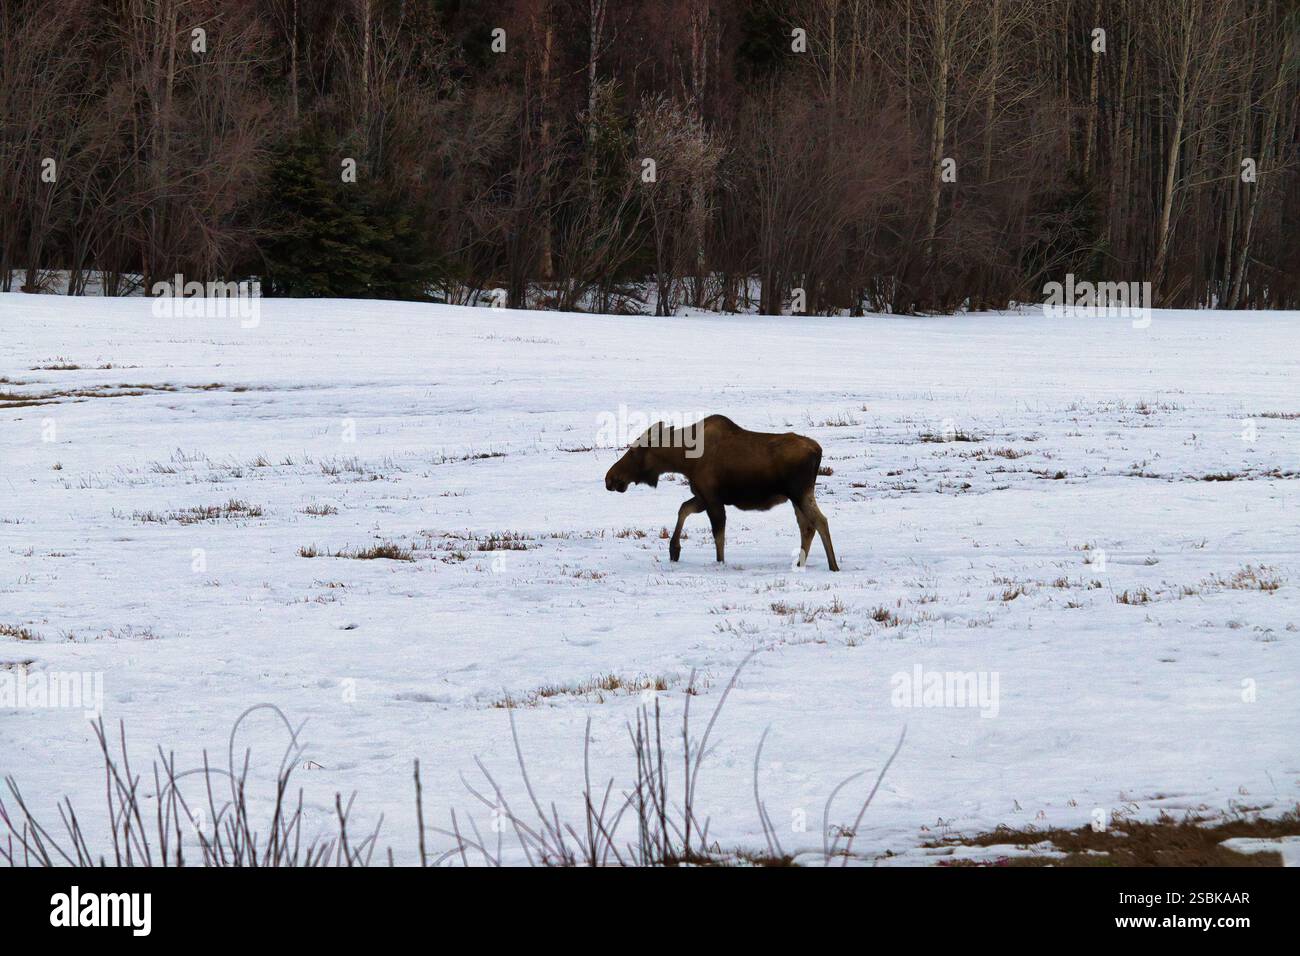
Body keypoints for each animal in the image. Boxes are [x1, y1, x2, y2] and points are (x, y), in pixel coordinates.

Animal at [604, 415, 839, 570]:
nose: (610, 478)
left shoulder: (712, 498)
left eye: (634, 451)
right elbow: (683, 509)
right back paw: (800, 563)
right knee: (807, 526)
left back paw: (833, 565)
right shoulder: (702, 496)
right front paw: (674, 550)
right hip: (795, 497)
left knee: (820, 521)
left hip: (799, 492)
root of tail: (818, 450)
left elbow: (718, 534)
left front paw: (719, 562)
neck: (684, 460)